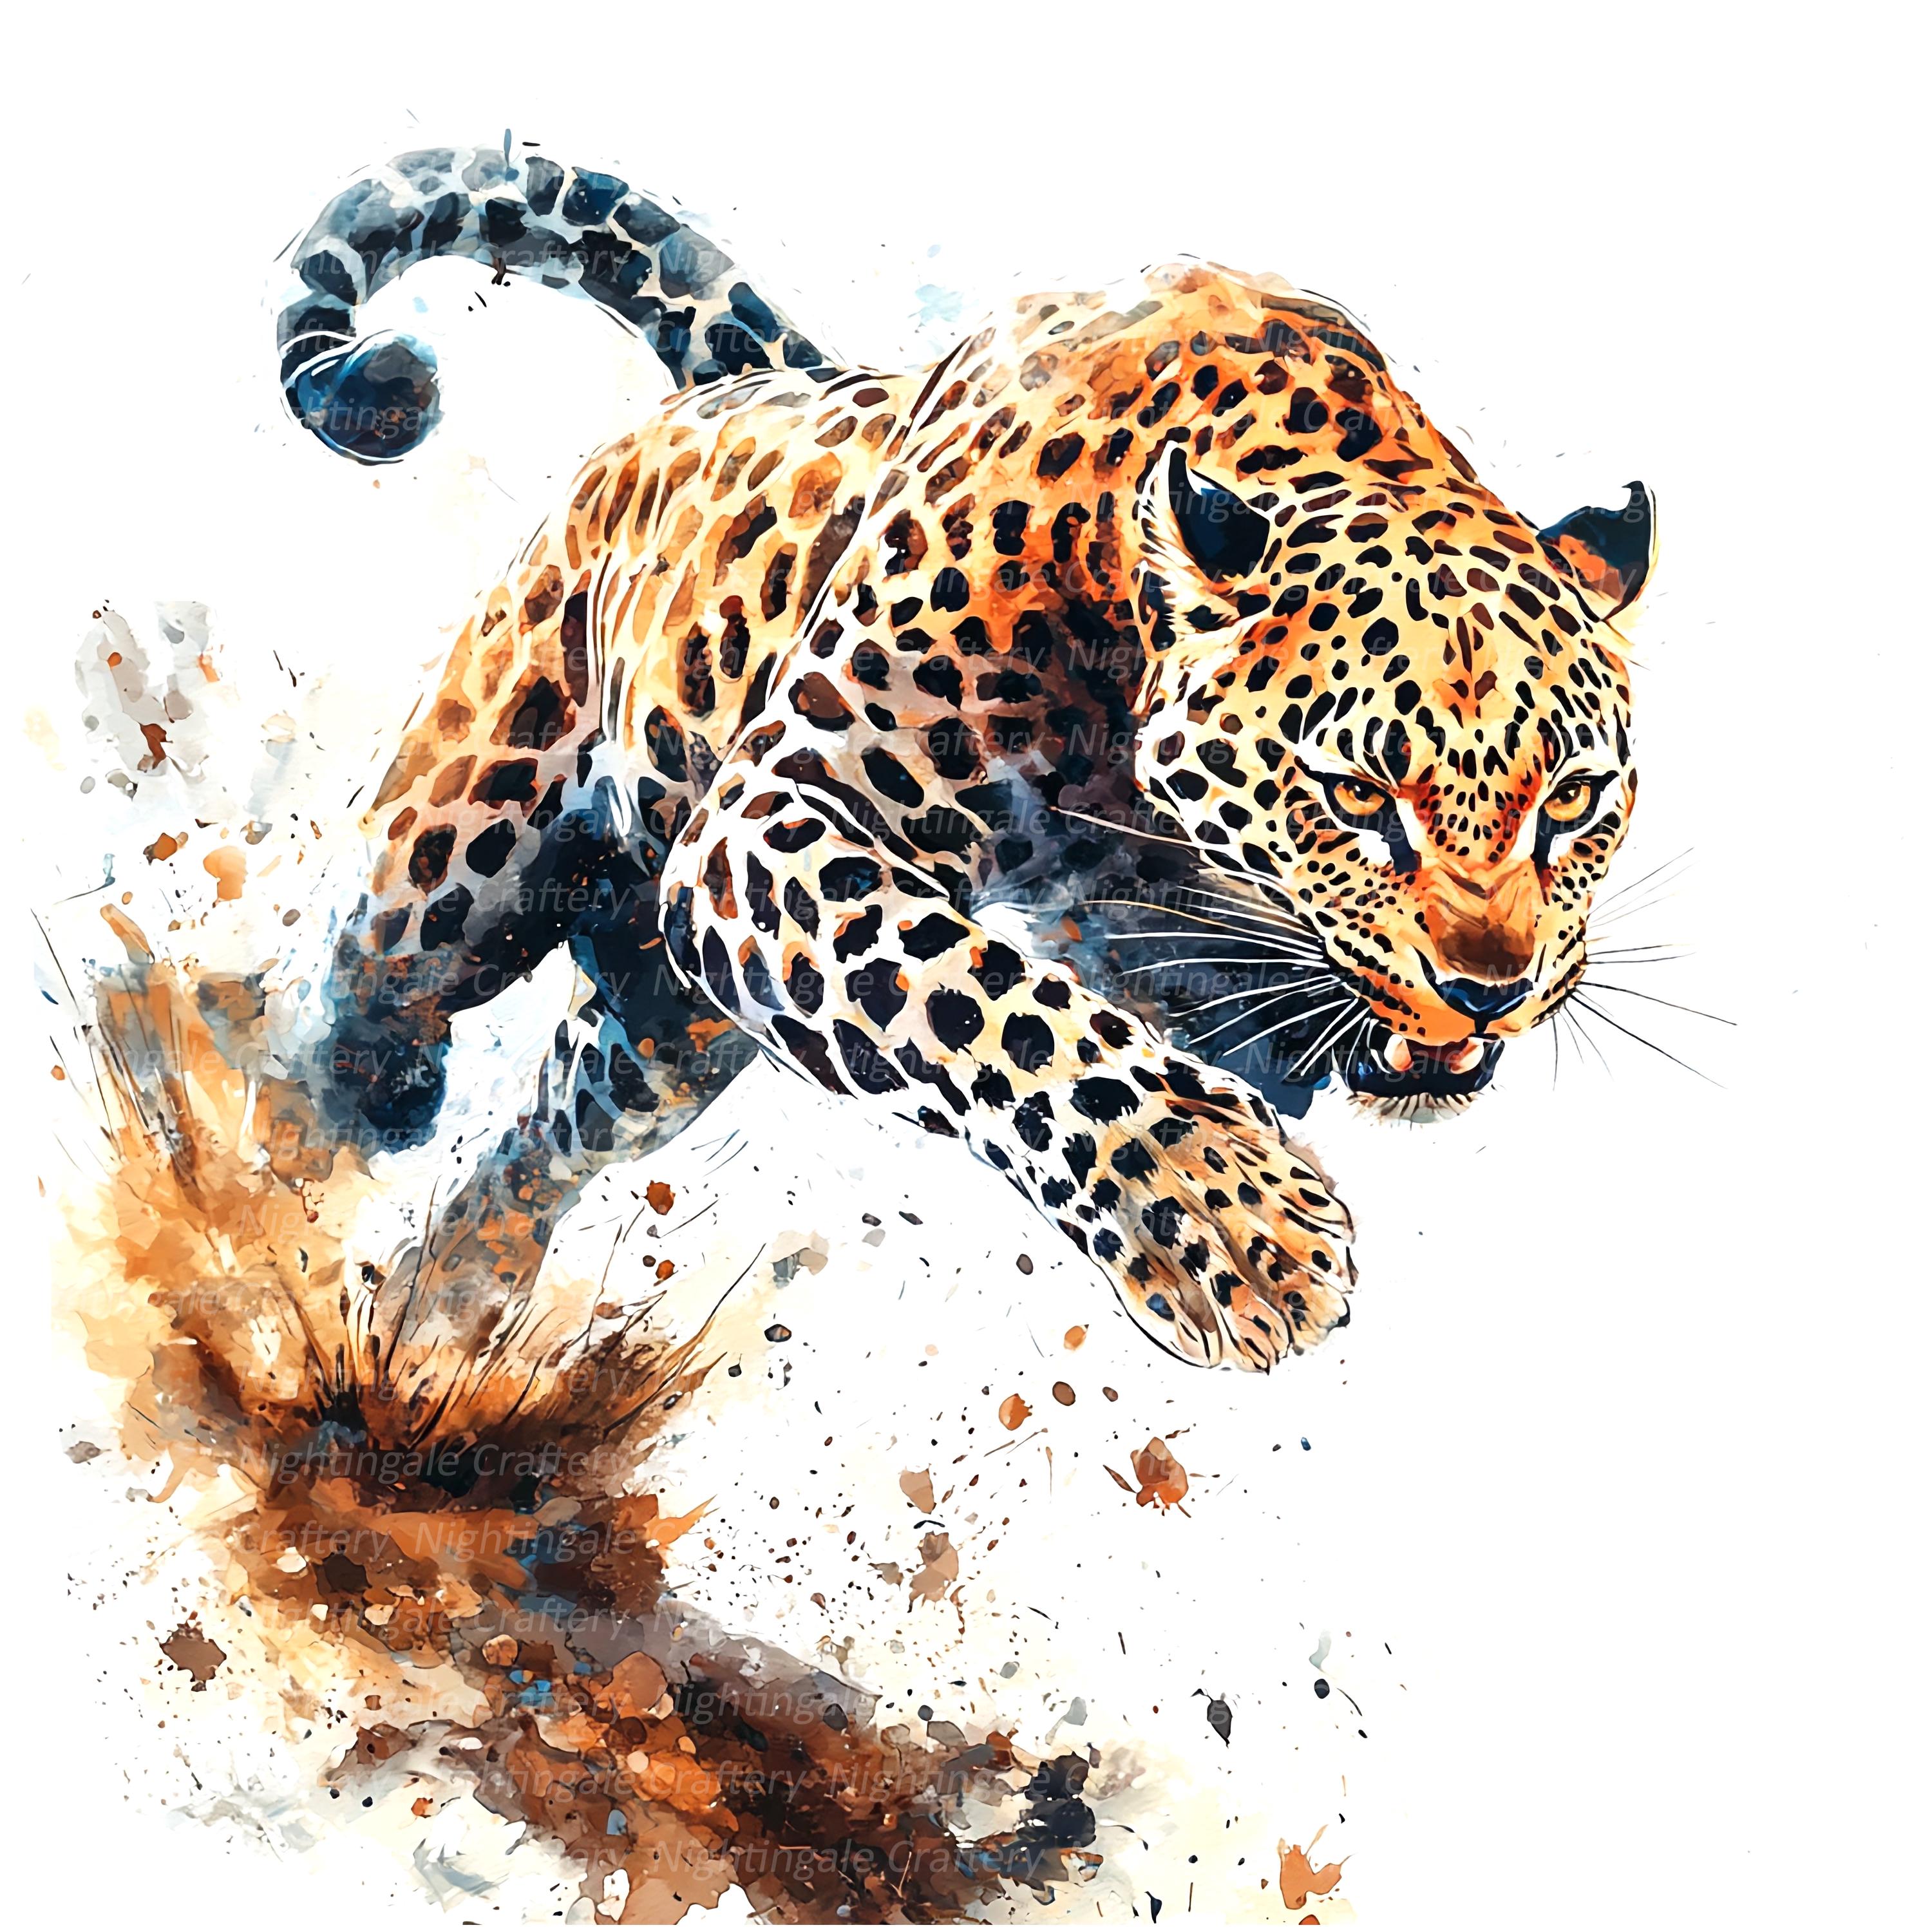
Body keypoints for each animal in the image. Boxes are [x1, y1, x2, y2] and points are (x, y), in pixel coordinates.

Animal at [280, 142, 1654, 1374]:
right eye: (1359, 794)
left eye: (1576, 801)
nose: (1491, 990)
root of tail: (742, 391)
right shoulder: (780, 808)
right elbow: (980, 998)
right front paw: (1220, 1216)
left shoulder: (1157, 925)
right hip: (461, 861)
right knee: (358, 1004)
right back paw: (304, 1169)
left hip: (659, 1032)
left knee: (534, 1153)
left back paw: (432, 1328)